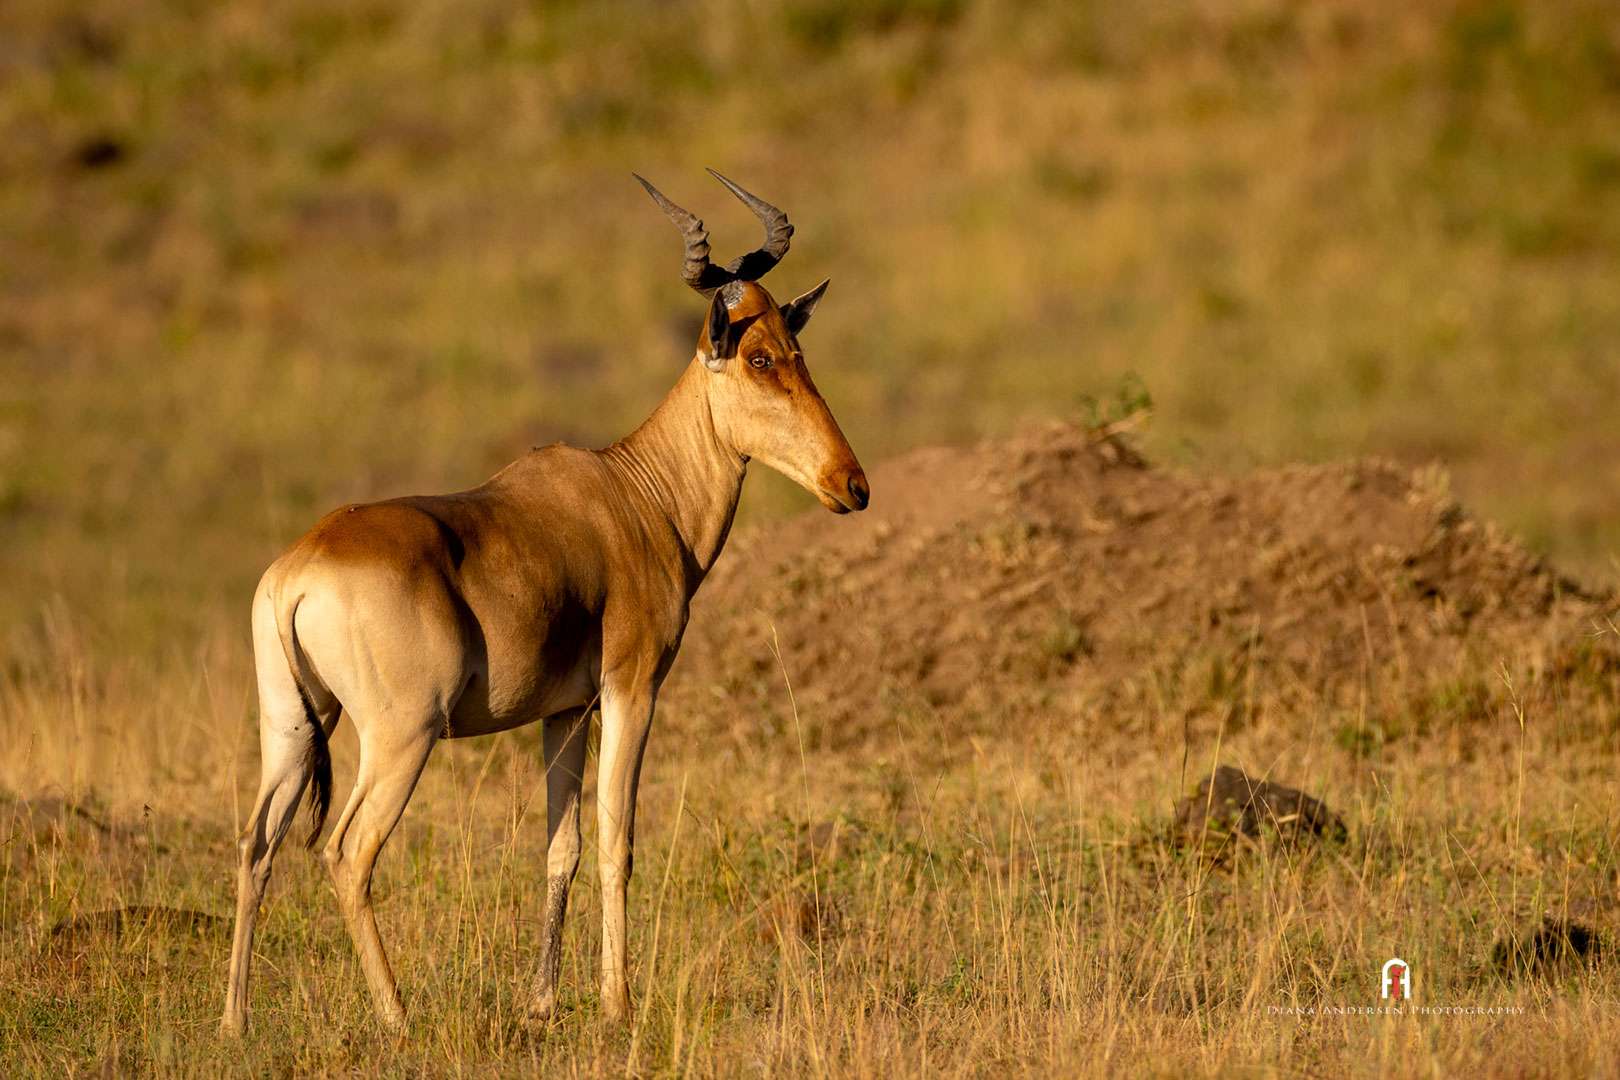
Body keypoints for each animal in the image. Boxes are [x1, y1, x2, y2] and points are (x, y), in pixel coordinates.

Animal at [220, 171, 868, 1035]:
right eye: (758, 357)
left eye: (799, 352)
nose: (851, 485)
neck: (632, 491)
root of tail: (299, 571)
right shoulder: (631, 688)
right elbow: (617, 841)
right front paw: (618, 1002)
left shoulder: (564, 711)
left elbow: (561, 847)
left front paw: (541, 1002)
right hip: (401, 735)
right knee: (348, 851)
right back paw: (397, 1016)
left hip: (293, 723)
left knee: (256, 843)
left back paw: (234, 1020)